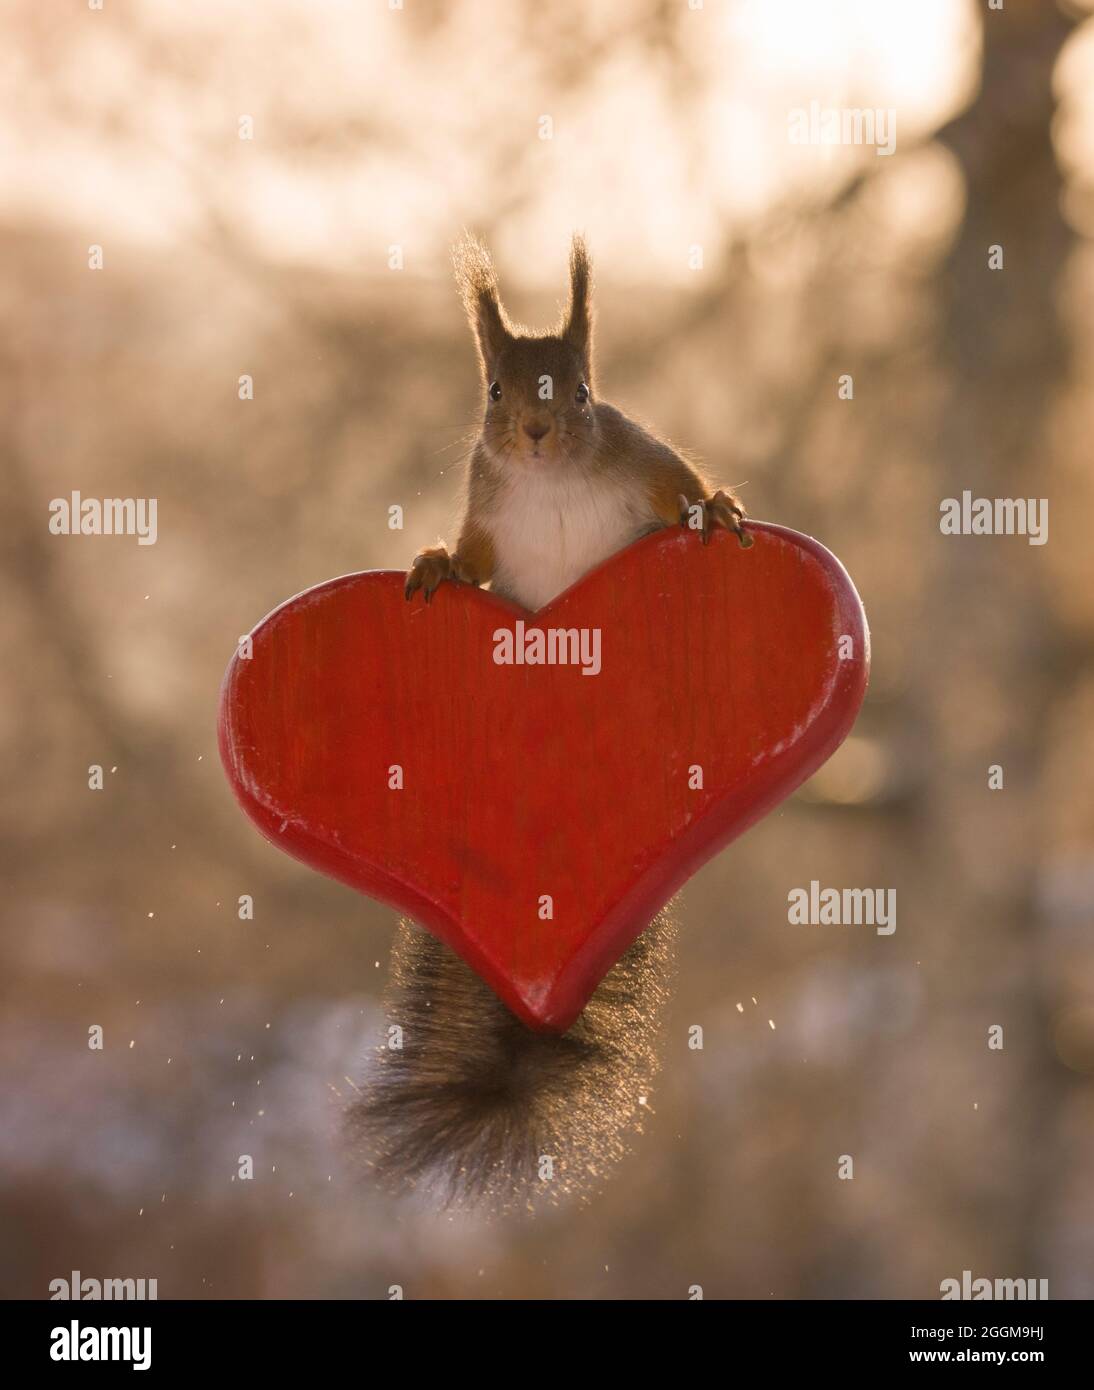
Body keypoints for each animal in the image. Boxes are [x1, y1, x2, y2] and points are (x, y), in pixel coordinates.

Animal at [347, 235, 751, 1210]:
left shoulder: (646, 461)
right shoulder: (489, 519)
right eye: (495, 390)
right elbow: (472, 559)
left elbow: (685, 487)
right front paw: (434, 563)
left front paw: (717, 507)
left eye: (580, 391)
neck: (553, 479)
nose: (533, 433)